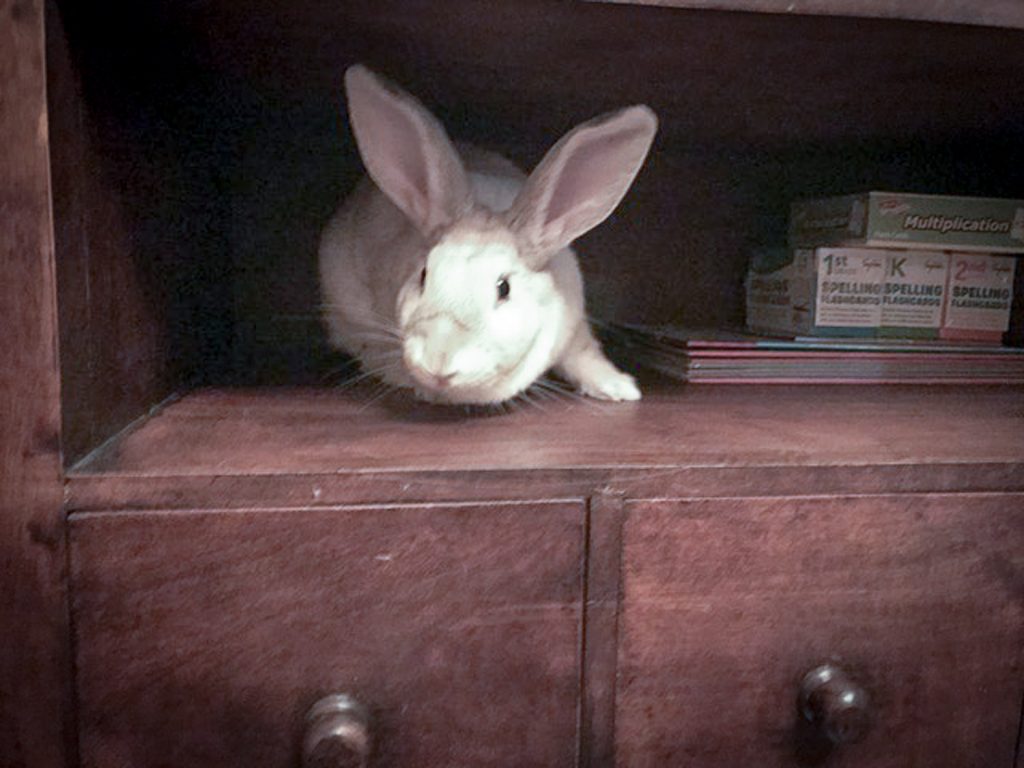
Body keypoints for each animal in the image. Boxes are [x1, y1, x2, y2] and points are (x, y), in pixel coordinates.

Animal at [318, 64, 657, 405]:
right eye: (424, 275)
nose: (438, 361)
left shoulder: (574, 326)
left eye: (503, 288)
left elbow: (583, 355)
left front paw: (620, 389)